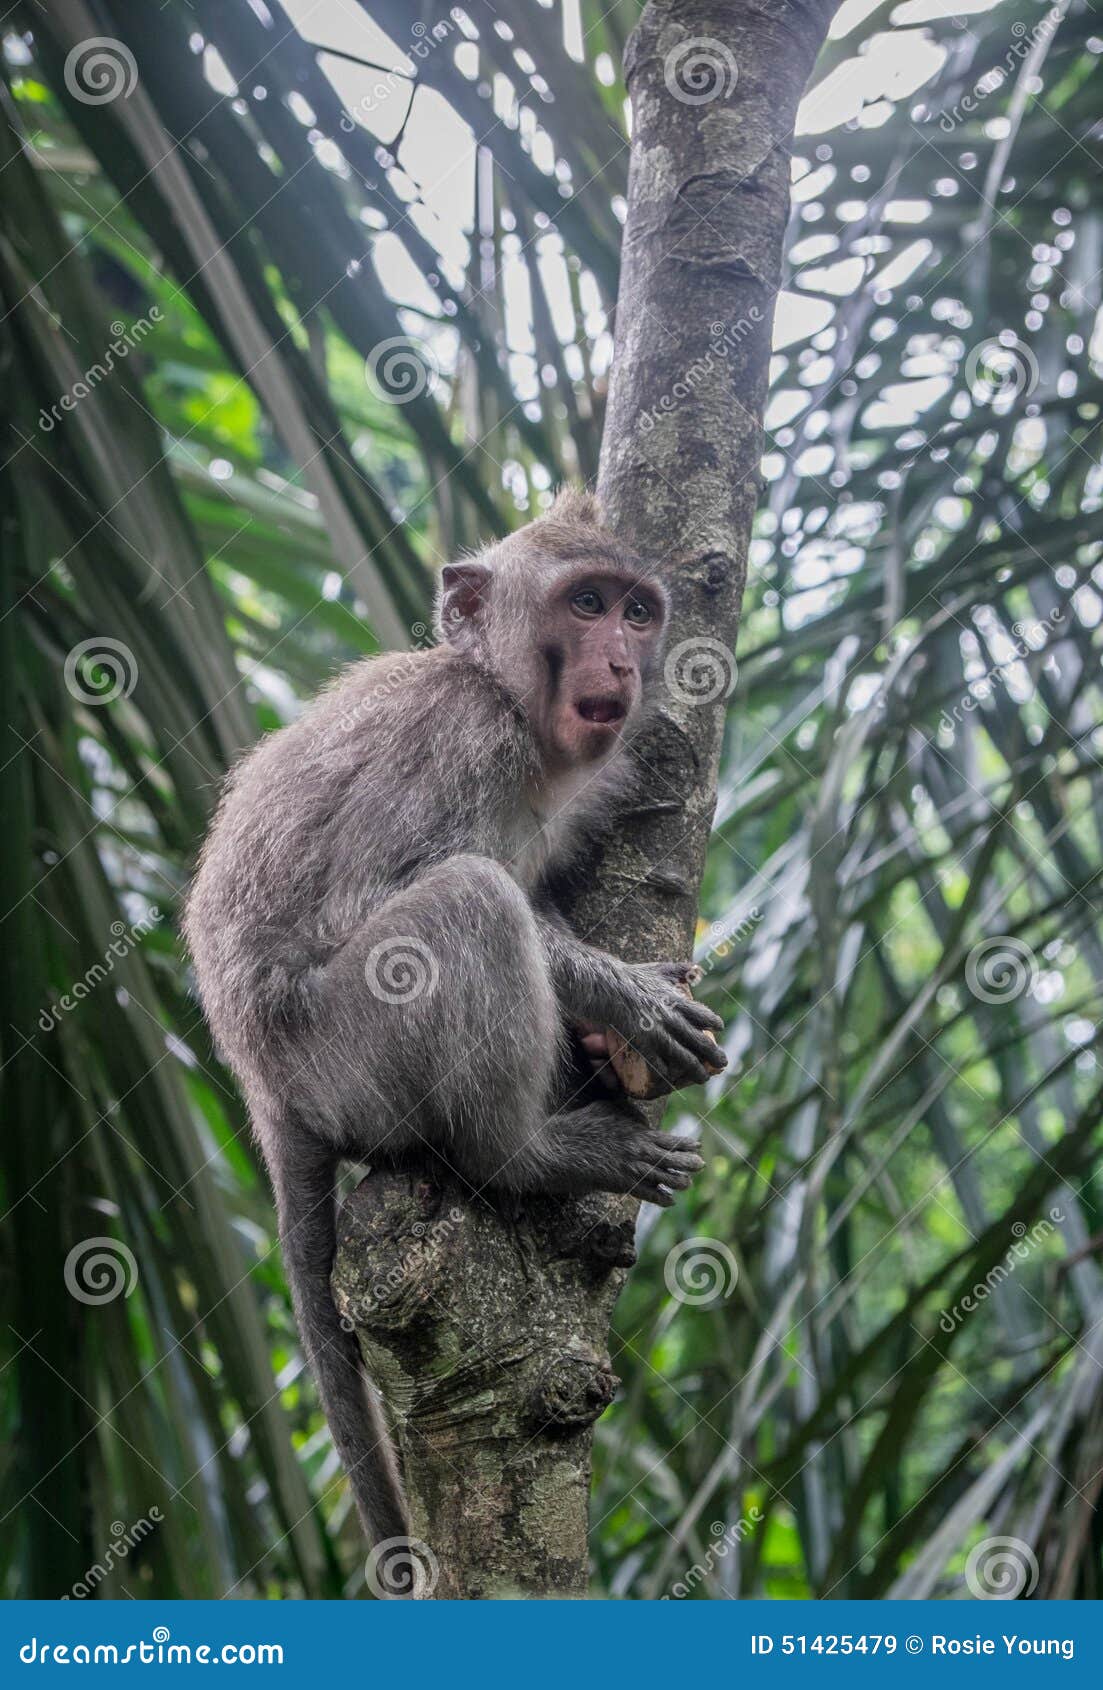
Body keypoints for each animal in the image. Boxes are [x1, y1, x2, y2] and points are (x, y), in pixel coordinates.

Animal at [183, 488, 726, 1564]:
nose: (619, 662)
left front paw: (603, 1026)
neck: (500, 692)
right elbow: (383, 901)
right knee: (462, 900)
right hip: (341, 1058)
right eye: (586, 603)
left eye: (637, 612)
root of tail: (264, 1092)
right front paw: (625, 999)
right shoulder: (461, 740)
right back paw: (520, 1153)